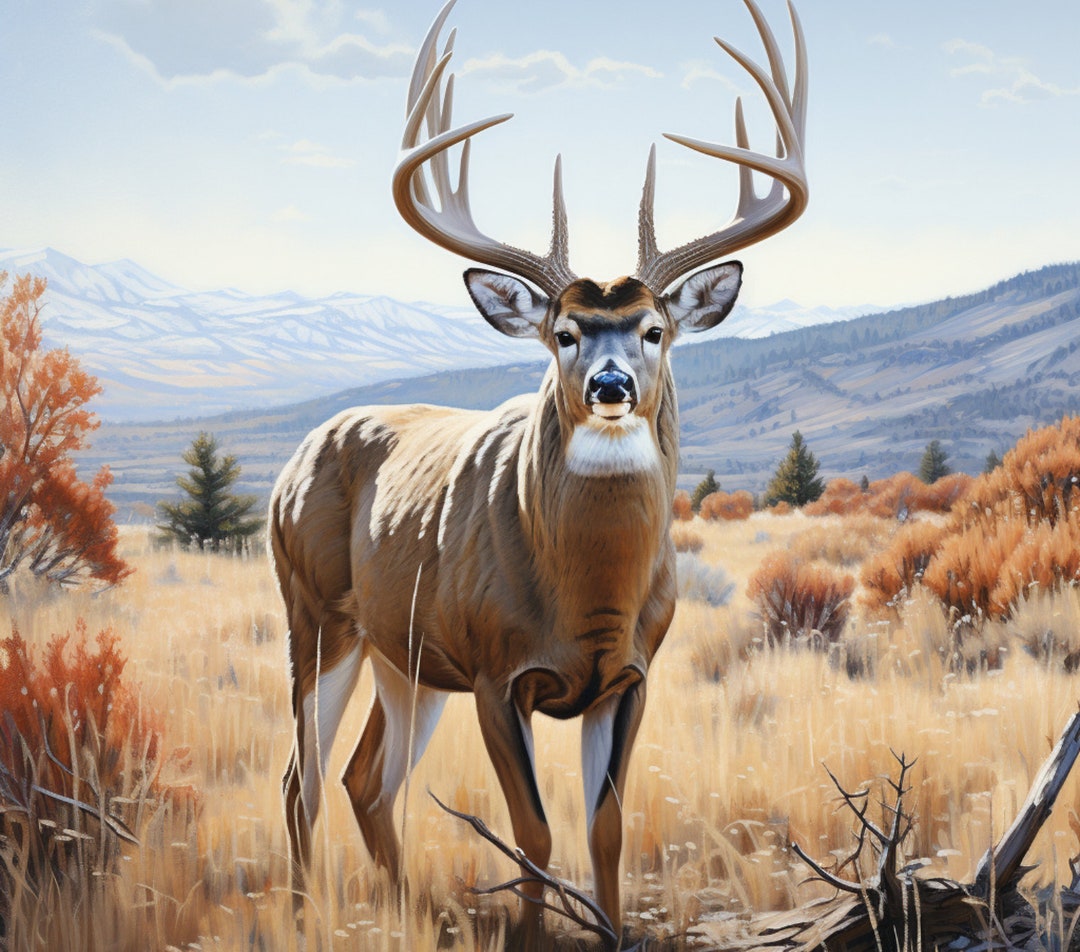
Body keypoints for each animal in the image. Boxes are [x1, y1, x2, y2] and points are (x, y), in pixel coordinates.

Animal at [270, 0, 807, 941]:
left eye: (655, 329)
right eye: (563, 331)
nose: (610, 385)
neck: (587, 595)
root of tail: (285, 470)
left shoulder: (629, 674)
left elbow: (604, 828)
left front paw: (609, 930)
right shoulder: (496, 671)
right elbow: (532, 831)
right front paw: (528, 932)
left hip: (405, 656)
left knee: (365, 778)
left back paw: (404, 907)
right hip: (318, 615)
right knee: (303, 778)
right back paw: (304, 916)